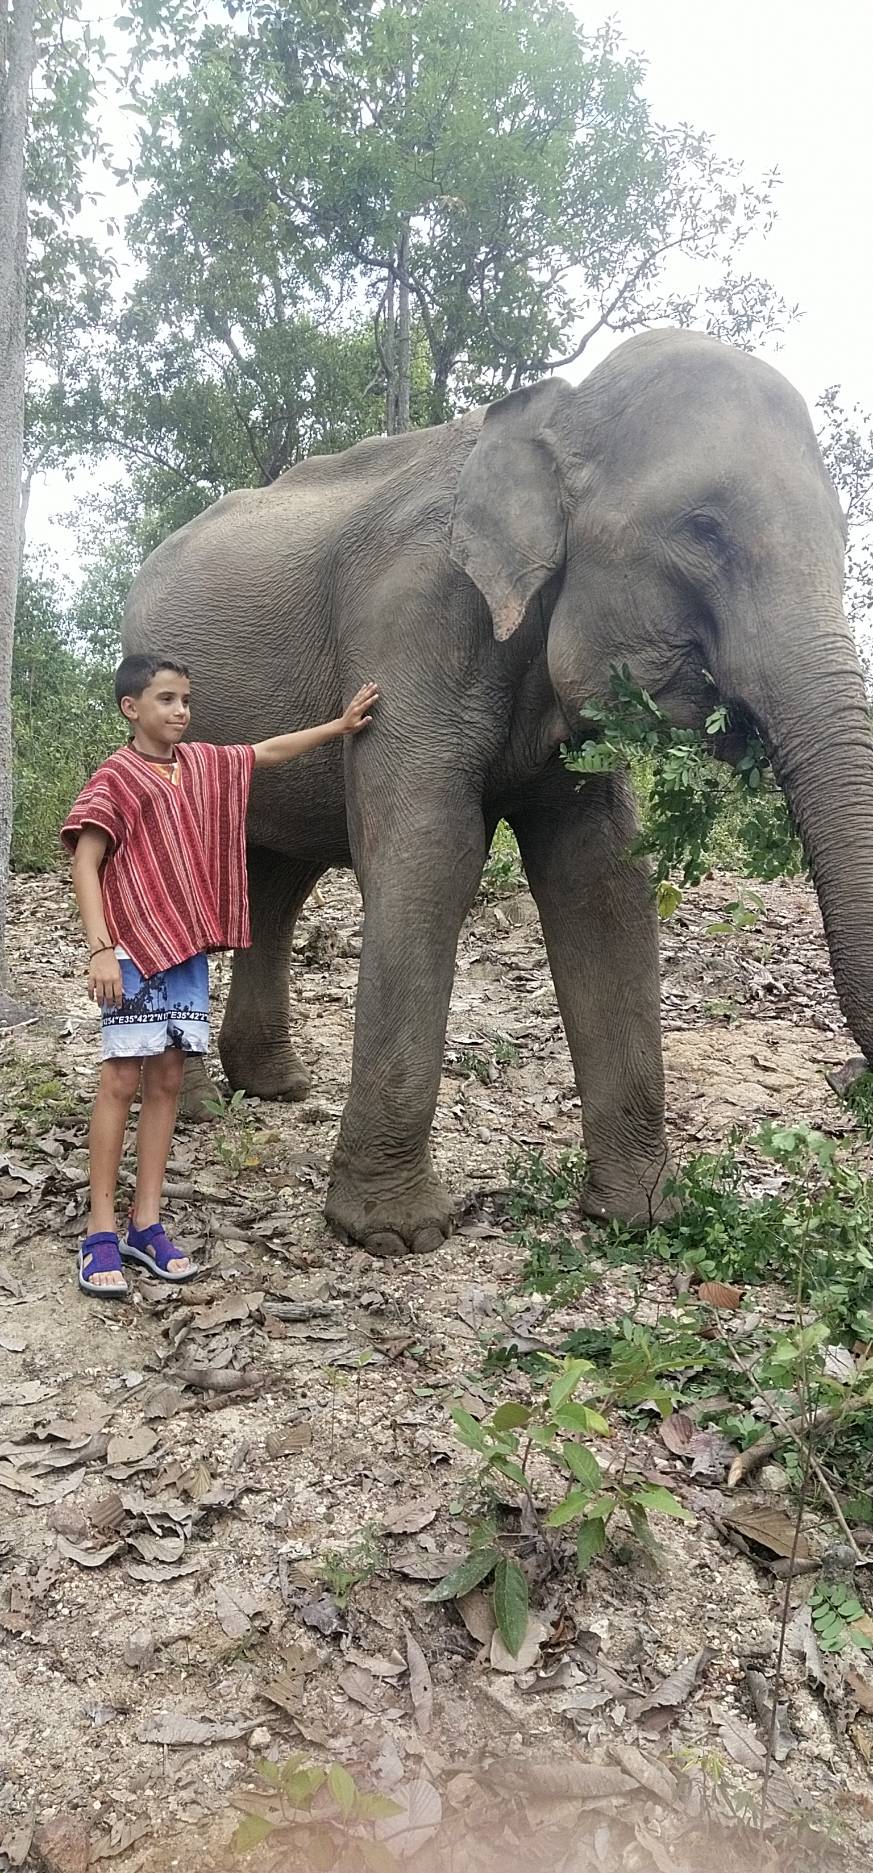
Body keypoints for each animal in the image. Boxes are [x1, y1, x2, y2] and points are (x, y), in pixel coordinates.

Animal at [124, 327, 868, 1258]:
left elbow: (599, 879)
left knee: (279, 879)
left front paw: (640, 1217)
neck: (556, 409)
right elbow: (431, 856)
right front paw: (397, 1235)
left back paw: (277, 1088)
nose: (848, 1079)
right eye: (702, 530)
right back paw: (195, 1110)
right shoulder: (409, 624)